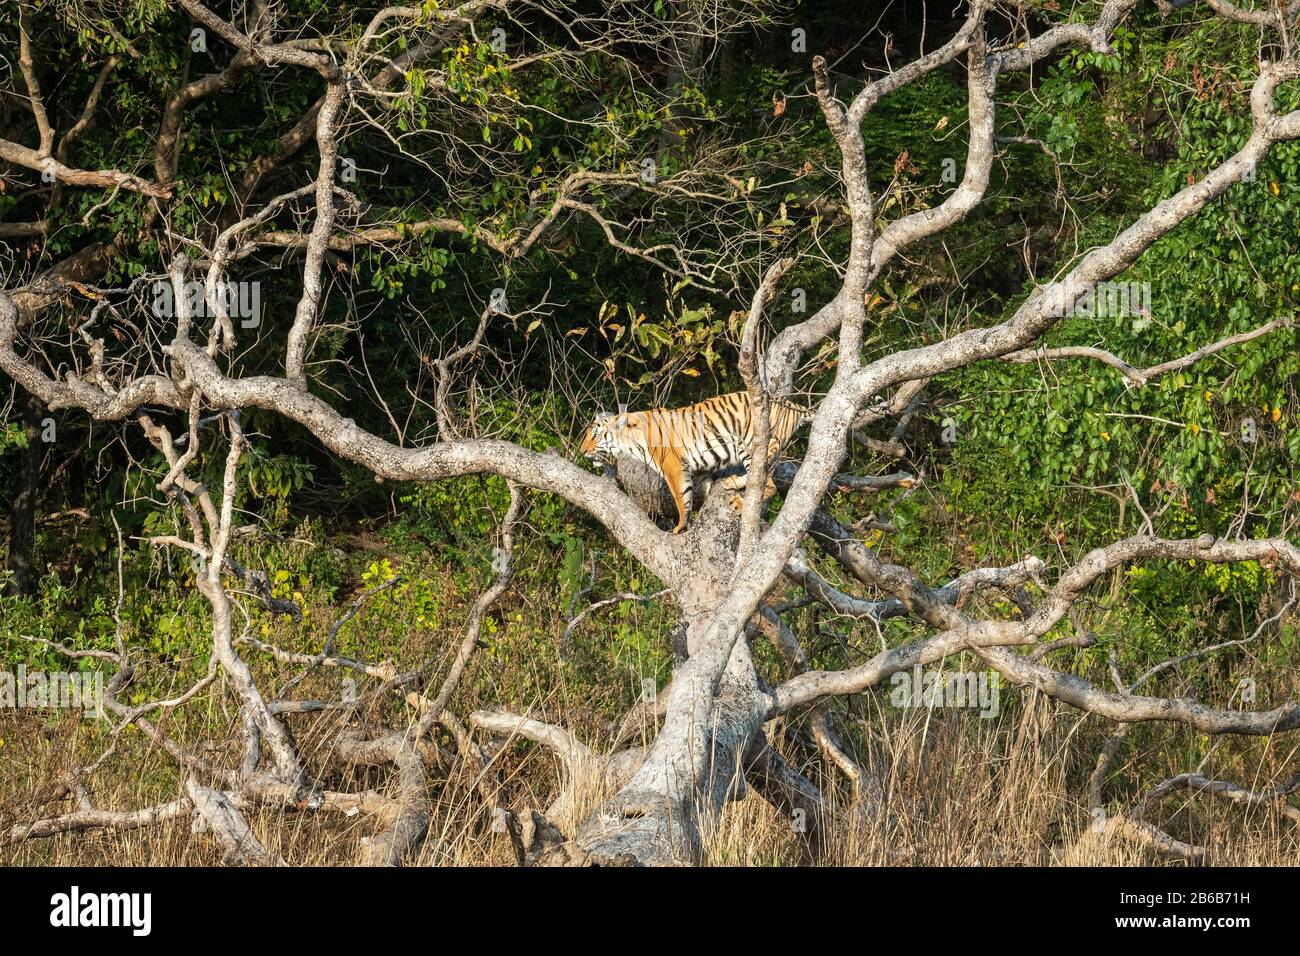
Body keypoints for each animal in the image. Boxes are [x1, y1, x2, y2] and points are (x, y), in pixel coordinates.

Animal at [579, 391, 813, 533]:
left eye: (594, 435)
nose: (582, 451)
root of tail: (791, 404)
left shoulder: (673, 468)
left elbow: (681, 498)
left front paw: (680, 527)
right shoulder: (700, 470)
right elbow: (698, 493)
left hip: (755, 445)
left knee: (768, 484)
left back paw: (739, 502)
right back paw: (732, 482)